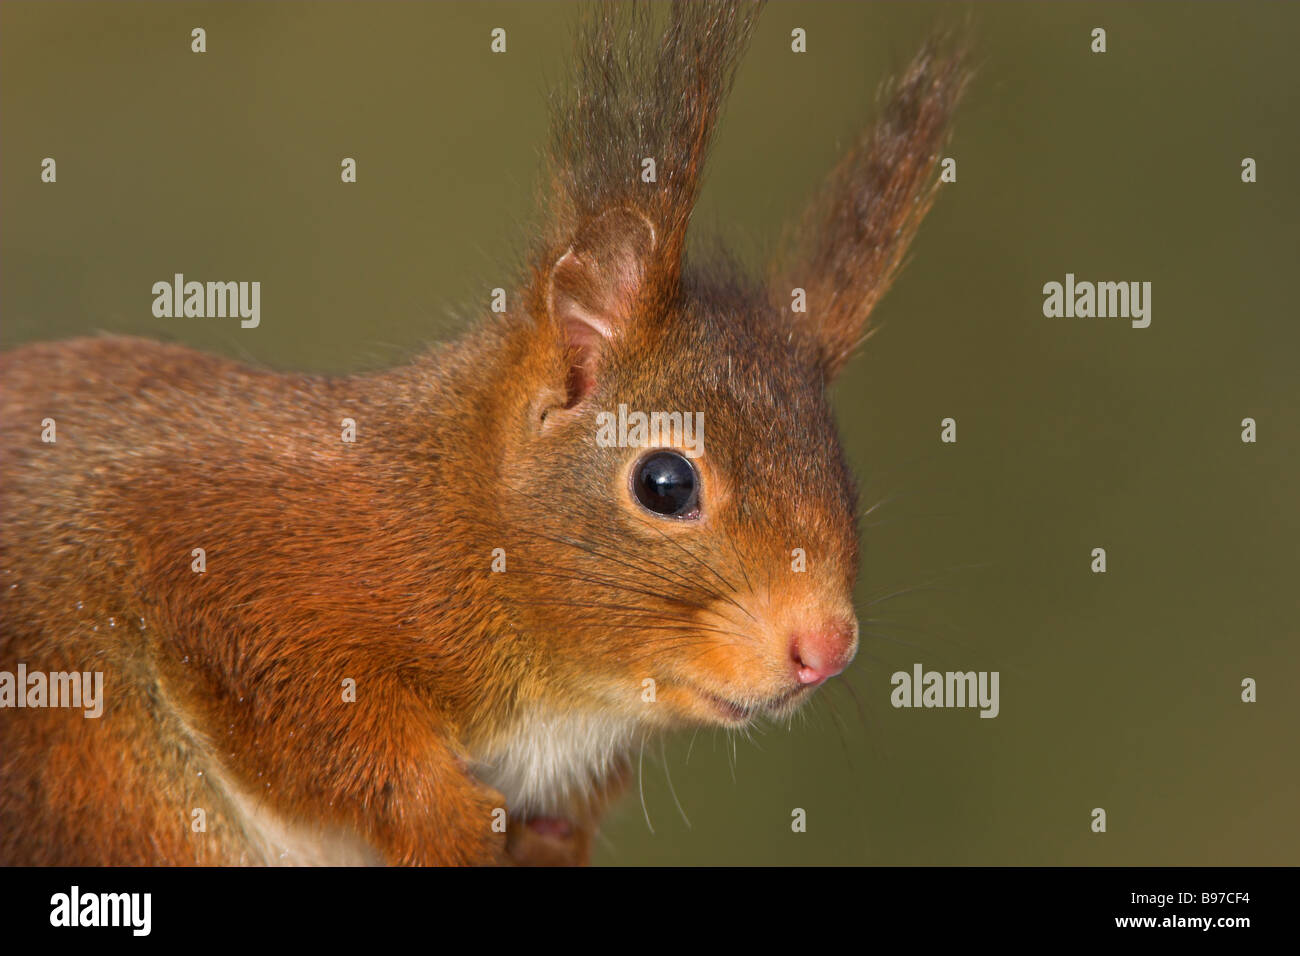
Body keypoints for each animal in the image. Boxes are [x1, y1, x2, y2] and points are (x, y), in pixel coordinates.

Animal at [0, 1, 965, 866]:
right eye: (665, 484)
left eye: (841, 469)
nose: (826, 649)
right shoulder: (240, 555)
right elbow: (301, 704)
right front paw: (443, 819)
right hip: (101, 764)